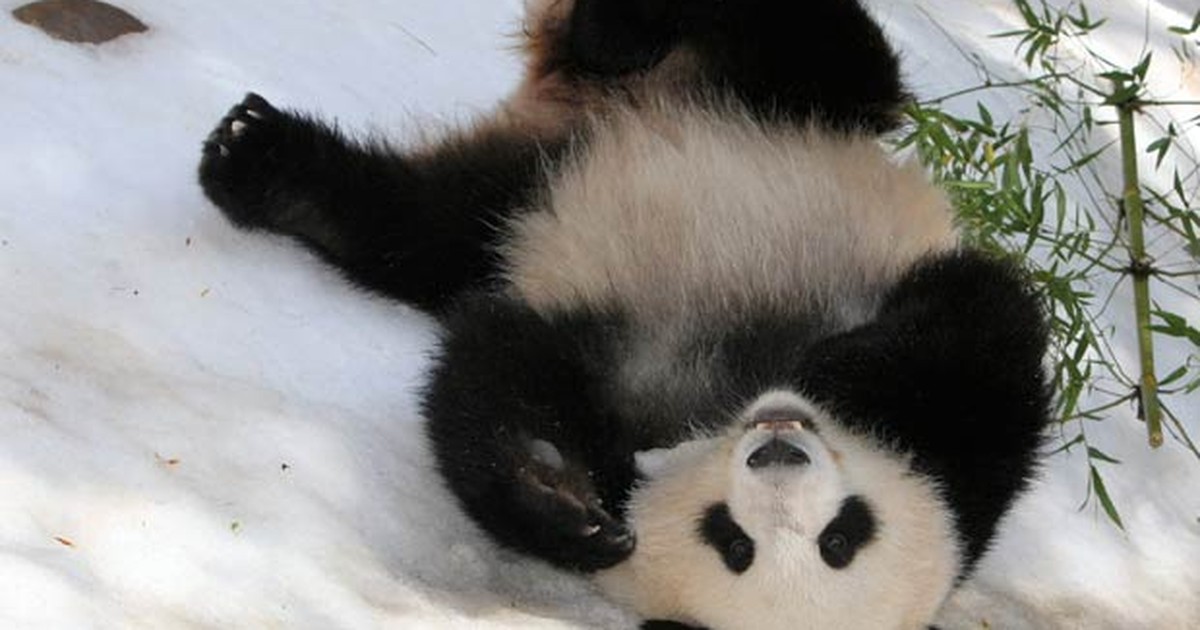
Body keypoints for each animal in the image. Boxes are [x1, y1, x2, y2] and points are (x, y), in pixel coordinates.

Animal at [197, 0, 1052, 628]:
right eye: (850, 531)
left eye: (737, 542)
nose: (780, 441)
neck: (720, 402)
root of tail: (603, 108)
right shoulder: (967, 435)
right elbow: (982, 327)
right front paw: (835, 370)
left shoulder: (603, 363)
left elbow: (496, 370)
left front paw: (559, 503)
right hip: (796, 112)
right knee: (821, 47)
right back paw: (614, 27)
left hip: (520, 199)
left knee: (432, 227)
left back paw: (272, 169)